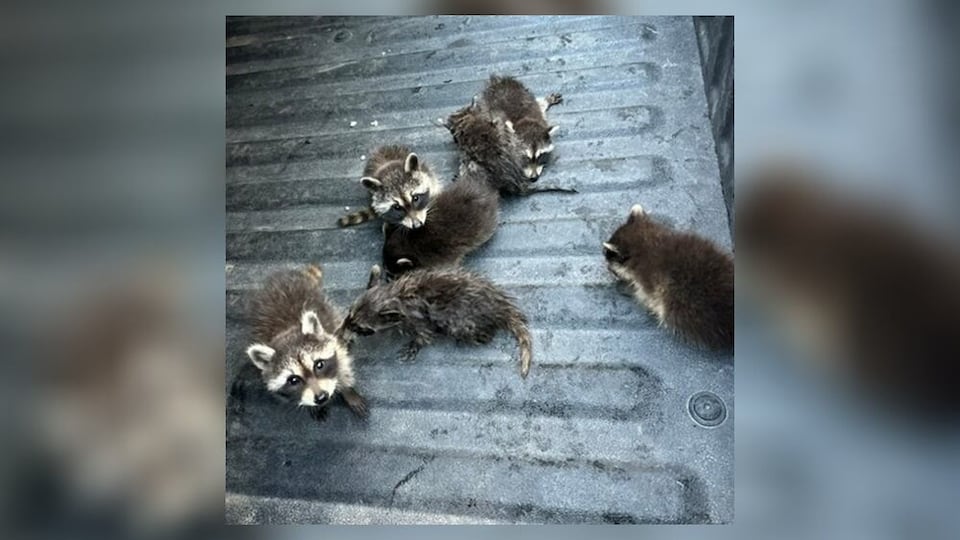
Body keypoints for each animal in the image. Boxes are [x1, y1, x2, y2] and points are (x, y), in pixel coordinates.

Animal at [245, 264, 368, 420]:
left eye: (319, 365)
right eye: (293, 380)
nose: (321, 398)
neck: (286, 330)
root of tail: (284, 274)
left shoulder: (334, 341)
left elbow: (343, 368)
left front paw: (348, 390)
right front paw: (313, 406)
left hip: (327, 304)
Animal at [339, 265, 533, 378]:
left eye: (361, 328)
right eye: (349, 315)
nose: (340, 333)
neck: (394, 295)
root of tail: (498, 305)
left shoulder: (416, 319)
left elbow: (424, 334)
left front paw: (415, 344)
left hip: (464, 320)